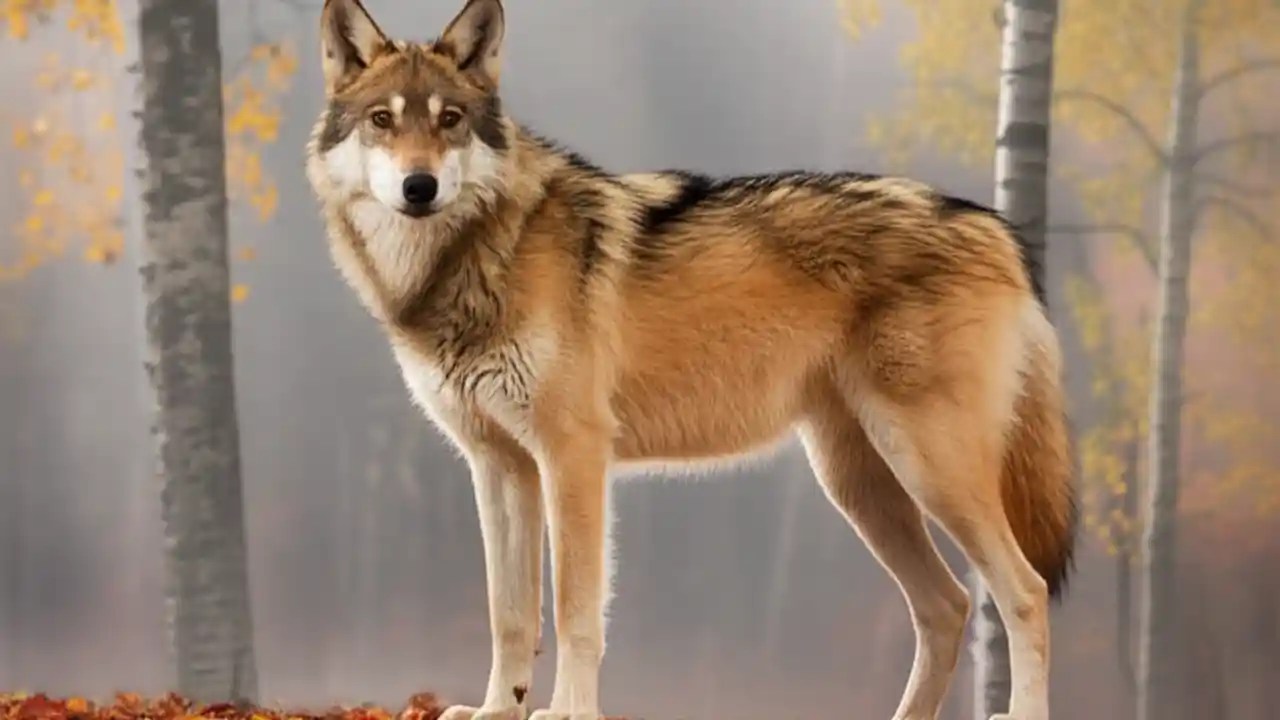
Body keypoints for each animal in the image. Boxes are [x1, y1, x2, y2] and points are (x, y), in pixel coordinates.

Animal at [304, 1, 1076, 718]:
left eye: (452, 120)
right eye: (382, 120)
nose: (420, 187)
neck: (477, 256)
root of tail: (996, 230)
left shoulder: (573, 455)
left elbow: (574, 608)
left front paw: (570, 710)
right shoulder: (498, 467)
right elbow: (510, 614)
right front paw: (499, 710)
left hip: (930, 469)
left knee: (1024, 592)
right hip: (858, 484)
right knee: (947, 606)